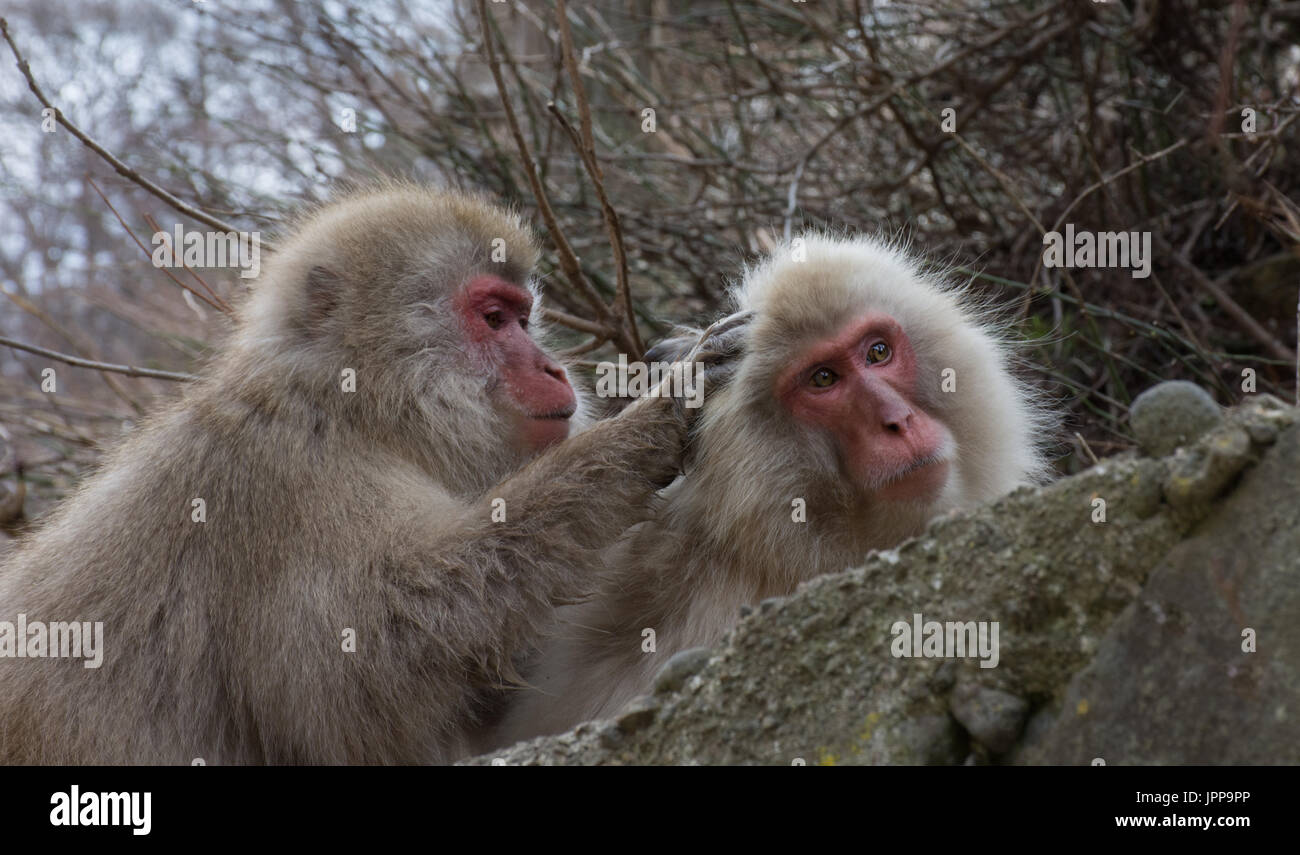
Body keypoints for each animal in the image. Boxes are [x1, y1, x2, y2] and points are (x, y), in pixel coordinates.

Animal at [0, 184, 741, 765]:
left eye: (525, 317)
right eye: (493, 317)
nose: (554, 368)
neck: (354, 412)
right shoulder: (288, 479)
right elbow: (362, 668)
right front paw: (653, 420)